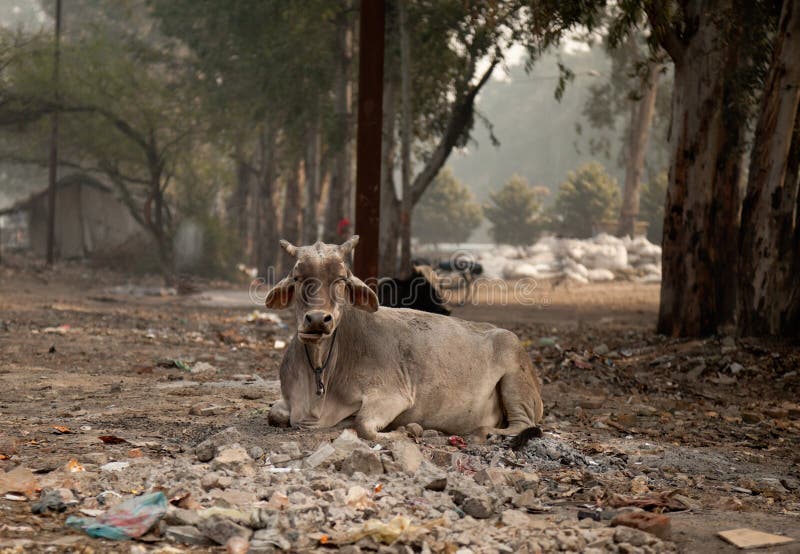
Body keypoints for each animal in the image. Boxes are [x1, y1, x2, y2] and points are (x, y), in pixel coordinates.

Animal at [265, 236, 543, 441]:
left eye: (341, 278)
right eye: (297, 277)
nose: (317, 320)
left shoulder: (393, 396)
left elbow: (363, 425)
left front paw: (405, 431)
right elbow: (274, 414)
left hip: (516, 379)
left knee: (521, 425)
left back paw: (480, 433)